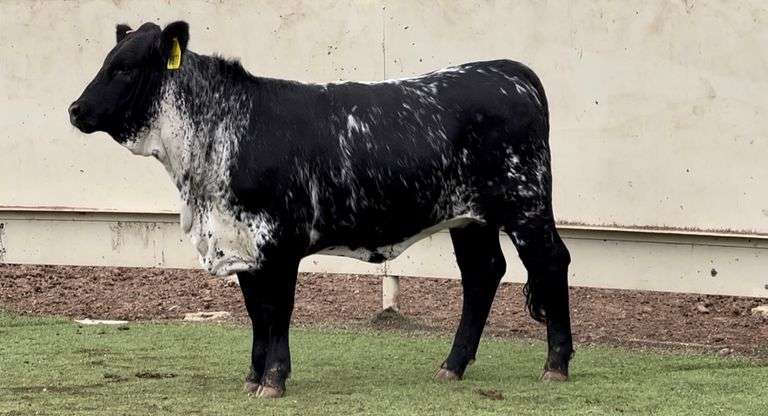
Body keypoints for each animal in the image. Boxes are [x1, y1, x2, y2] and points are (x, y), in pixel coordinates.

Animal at [69, 21, 573, 398]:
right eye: (106, 62)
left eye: (124, 68)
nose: (75, 110)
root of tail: (507, 70)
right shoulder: (241, 243)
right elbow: (256, 311)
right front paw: (253, 377)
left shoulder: (278, 242)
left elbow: (277, 310)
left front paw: (273, 380)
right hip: (469, 219)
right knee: (482, 273)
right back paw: (452, 365)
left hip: (526, 204)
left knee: (550, 261)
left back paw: (556, 365)